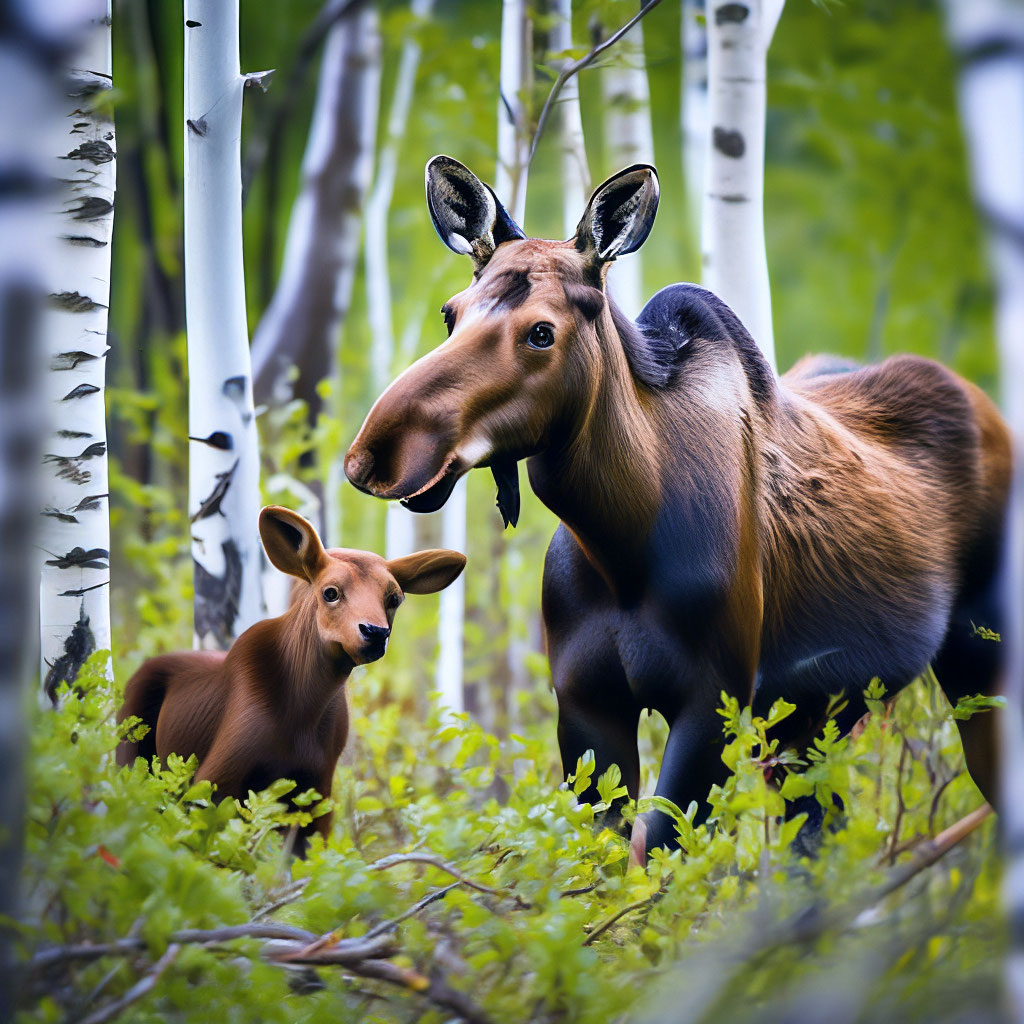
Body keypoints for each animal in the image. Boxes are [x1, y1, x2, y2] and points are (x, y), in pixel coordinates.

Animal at [116, 504, 466, 853]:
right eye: (330, 592)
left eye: (394, 598)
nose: (375, 632)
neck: (301, 710)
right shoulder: (216, 779)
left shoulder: (317, 789)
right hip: (131, 757)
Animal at [344, 155, 1012, 859]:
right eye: (451, 314)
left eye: (541, 332)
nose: (378, 453)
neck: (619, 545)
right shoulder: (585, 704)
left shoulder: (712, 703)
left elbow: (663, 855)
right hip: (817, 721)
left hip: (976, 663)